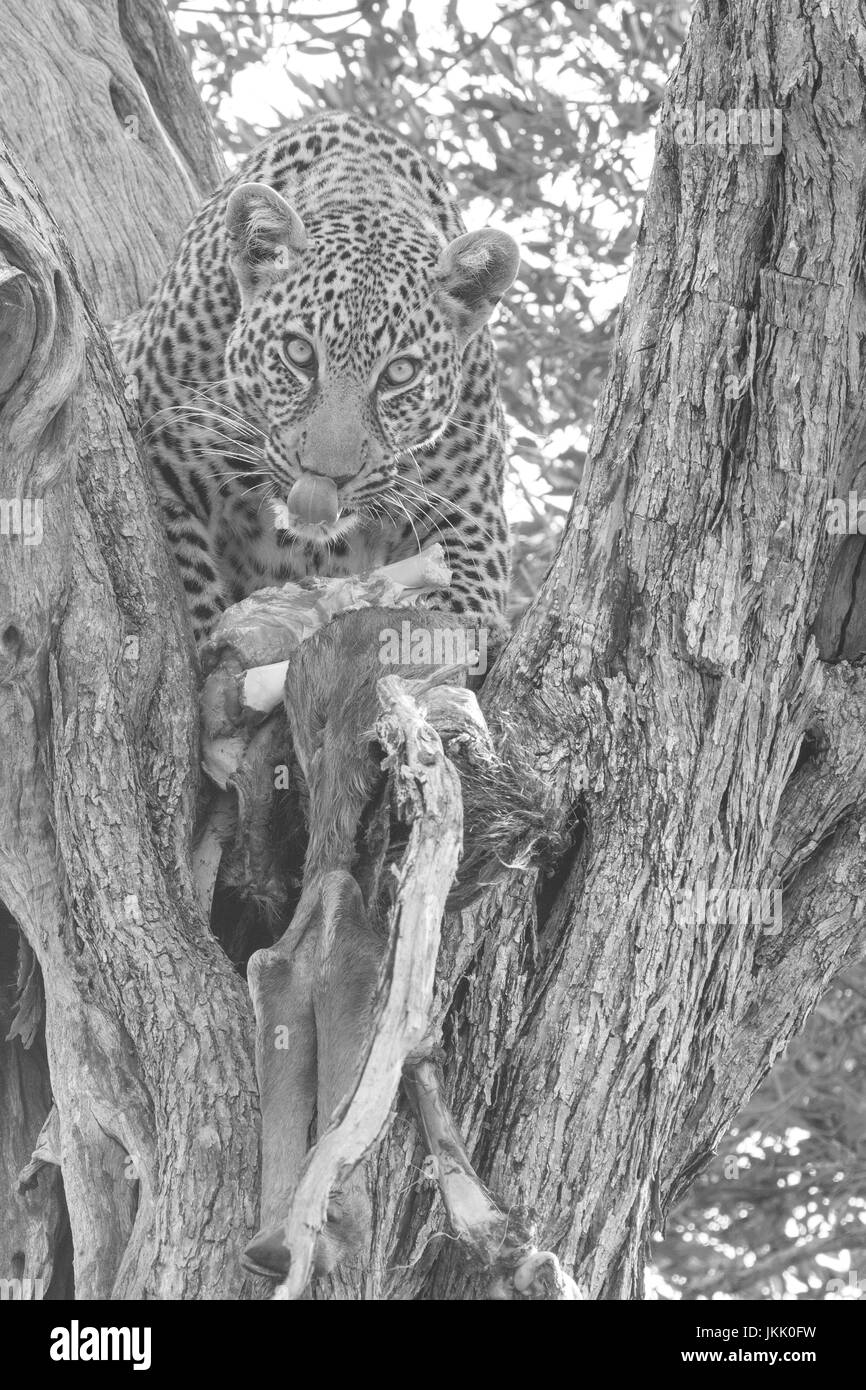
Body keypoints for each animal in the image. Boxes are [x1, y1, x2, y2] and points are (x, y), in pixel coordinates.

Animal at [111, 111, 520, 644]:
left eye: (400, 373)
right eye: (299, 353)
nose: (326, 479)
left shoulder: (470, 510)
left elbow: (462, 611)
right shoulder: (165, 463)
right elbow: (191, 595)